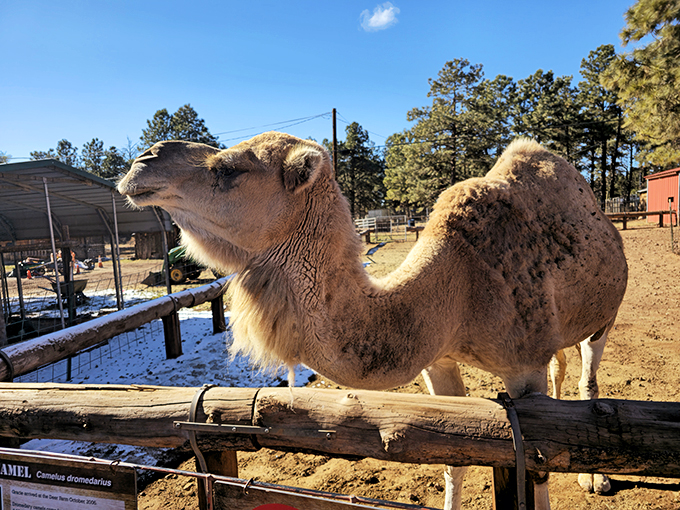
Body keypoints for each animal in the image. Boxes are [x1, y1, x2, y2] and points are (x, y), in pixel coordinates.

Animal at [118, 132, 628, 510]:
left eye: (229, 168)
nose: (143, 161)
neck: (460, 284)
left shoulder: (522, 364)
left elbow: (536, 468)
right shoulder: (438, 359)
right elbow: (456, 457)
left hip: (603, 317)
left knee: (588, 376)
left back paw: (596, 478)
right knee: (562, 365)